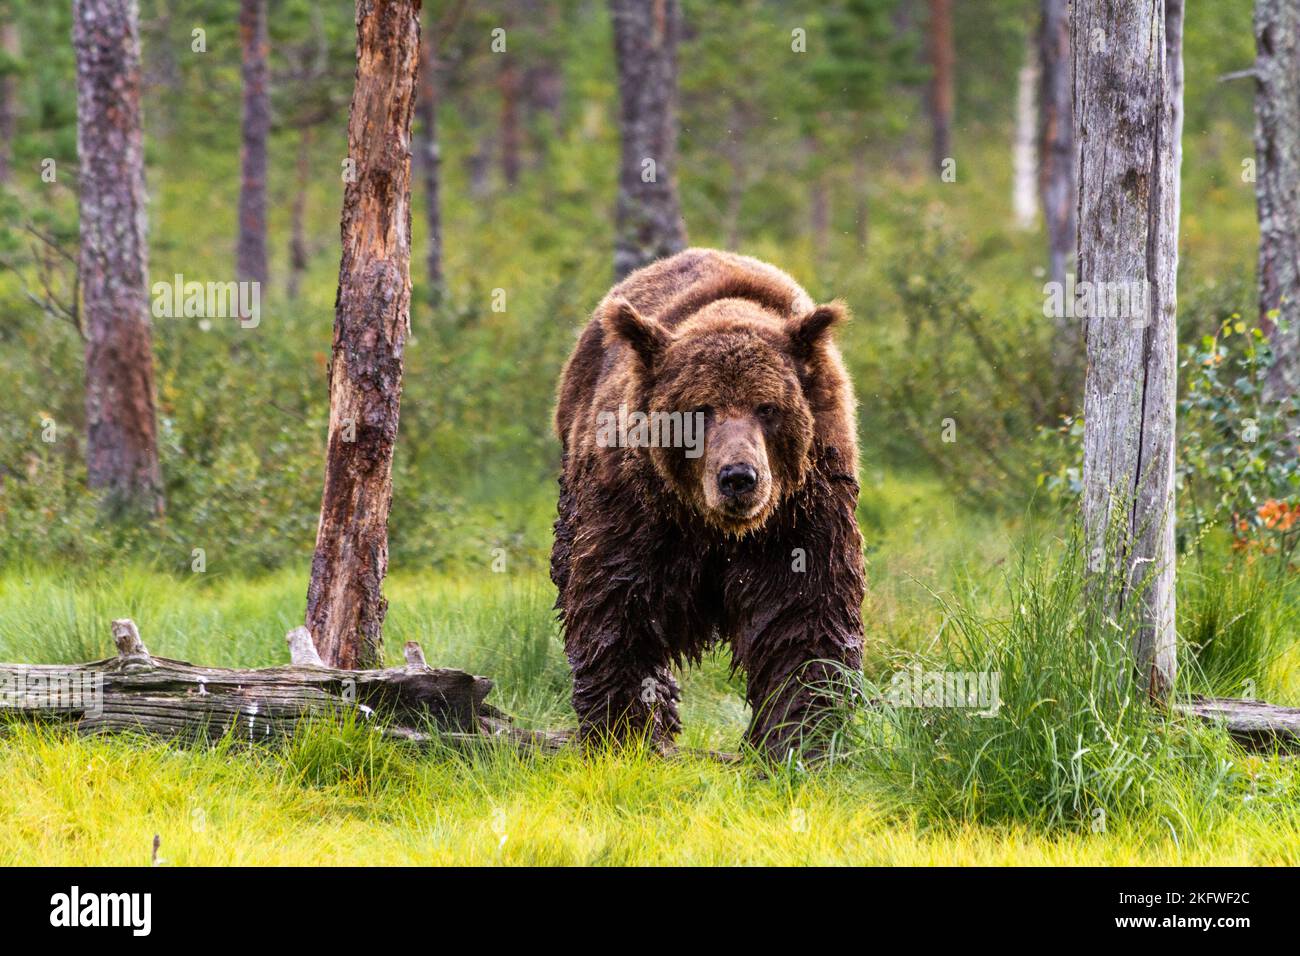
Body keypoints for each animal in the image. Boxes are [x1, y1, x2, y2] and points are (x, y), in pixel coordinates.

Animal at [551, 248, 865, 757]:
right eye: (700, 410)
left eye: (768, 407)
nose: (738, 477)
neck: (717, 529)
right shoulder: (639, 511)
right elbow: (617, 609)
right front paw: (628, 733)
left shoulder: (801, 514)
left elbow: (804, 615)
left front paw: (799, 738)